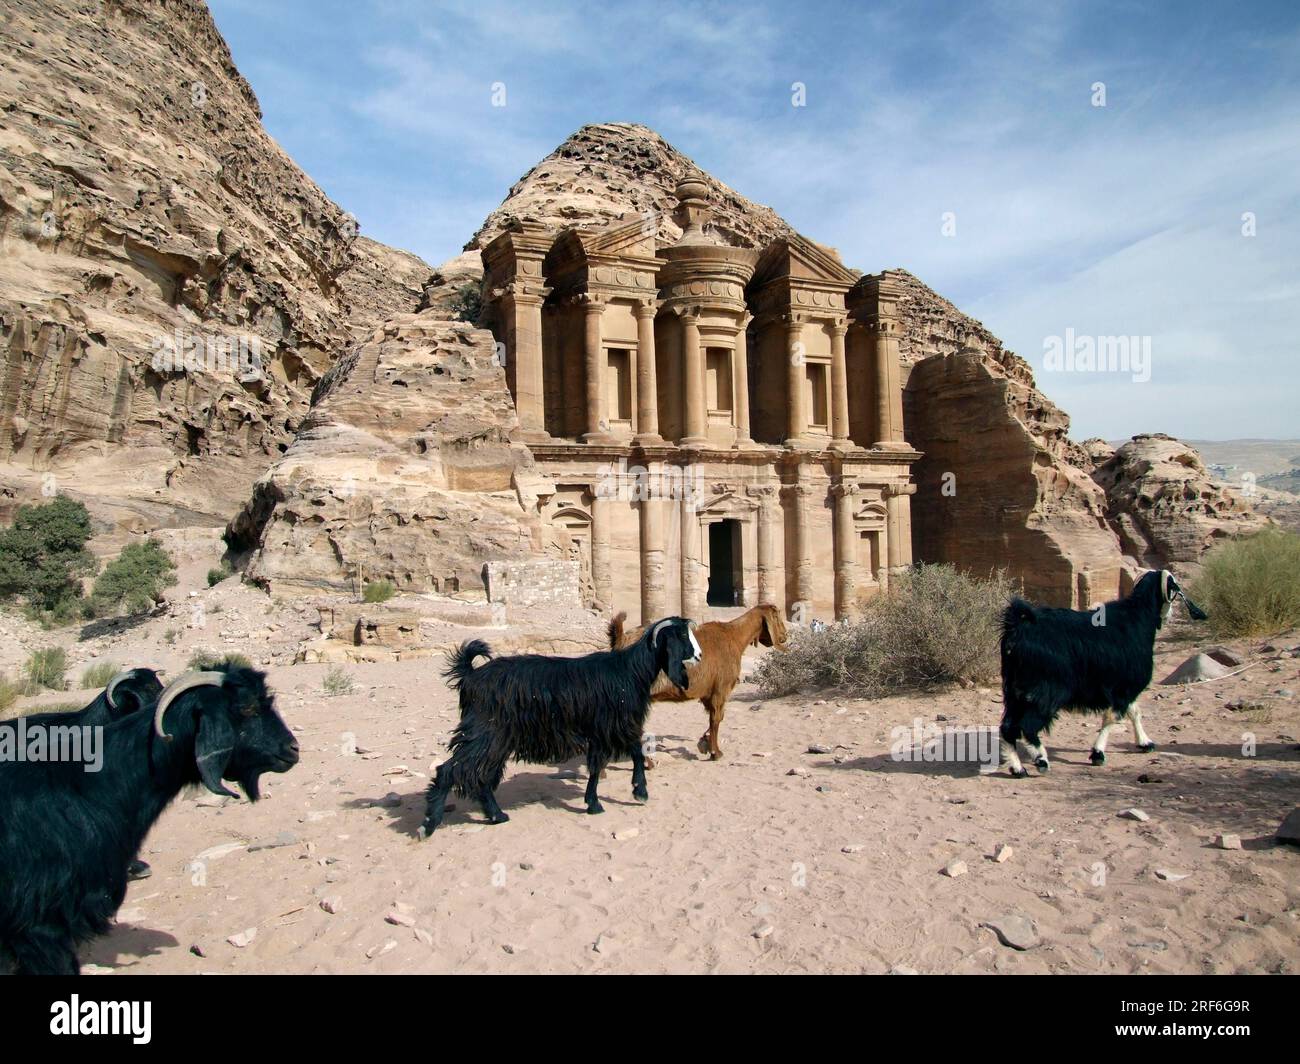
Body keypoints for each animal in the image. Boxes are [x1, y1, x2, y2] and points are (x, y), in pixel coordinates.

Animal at [420, 617, 701, 835]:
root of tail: (471, 675)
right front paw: (638, 792)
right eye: (682, 635)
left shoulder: (603, 730)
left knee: (481, 776)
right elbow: (632, 754)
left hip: (496, 738)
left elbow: (598, 767)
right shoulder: (615, 724)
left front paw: (594, 803)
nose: (699, 655)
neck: (630, 672)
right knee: (450, 770)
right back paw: (428, 824)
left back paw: (497, 815)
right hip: (484, 733)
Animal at [609, 604, 787, 761]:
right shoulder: (720, 689)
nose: (785, 635)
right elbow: (716, 719)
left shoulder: (707, 693)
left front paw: (705, 743)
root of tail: (623, 638)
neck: (734, 636)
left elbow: (713, 718)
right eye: (777, 615)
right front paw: (715, 752)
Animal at [998, 569, 1207, 777]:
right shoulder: (1124, 687)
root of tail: (1018, 627)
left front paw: (1145, 743)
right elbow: (1113, 716)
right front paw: (1098, 754)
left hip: (1015, 691)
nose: (1171, 613)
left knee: (1007, 727)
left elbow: (1134, 711)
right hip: (1046, 692)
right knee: (1027, 726)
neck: (1139, 616)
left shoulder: (1123, 687)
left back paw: (1018, 768)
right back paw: (1041, 759)